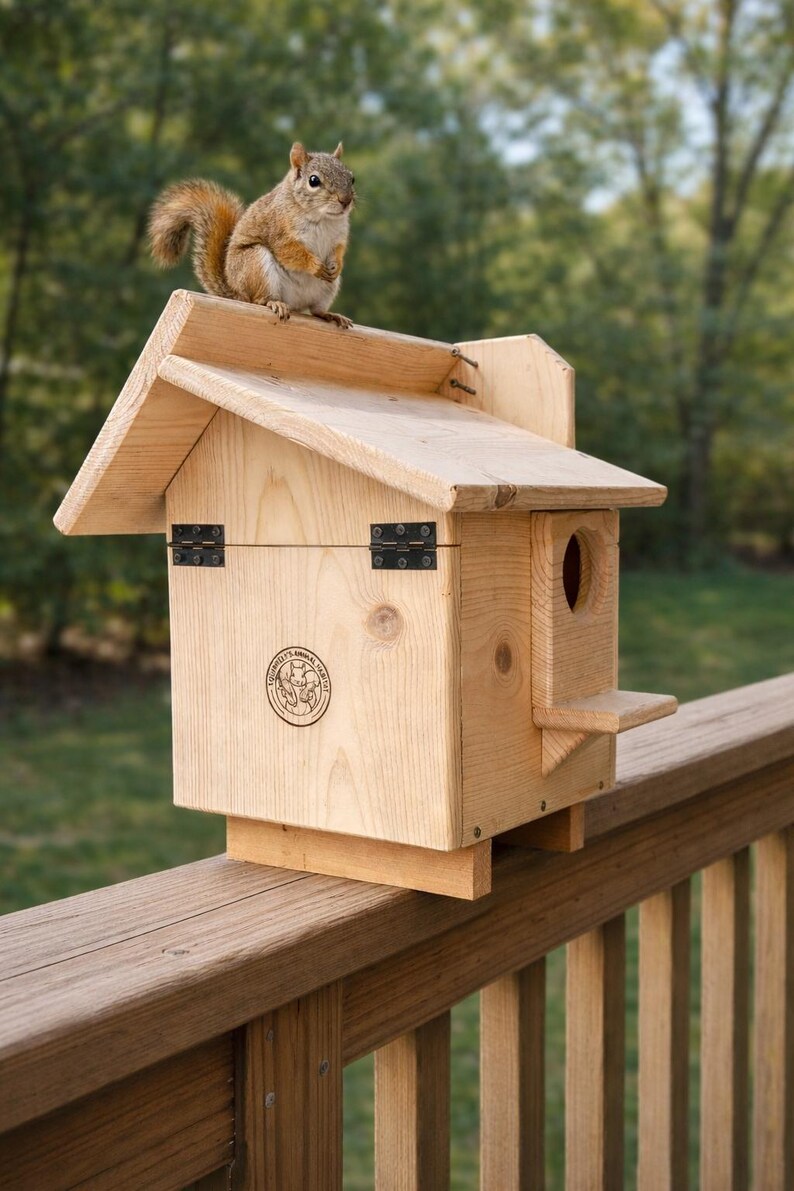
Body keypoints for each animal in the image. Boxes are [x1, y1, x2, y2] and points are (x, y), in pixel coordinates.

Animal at [148, 142, 355, 328]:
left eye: (352, 178)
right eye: (314, 181)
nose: (346, 200)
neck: (323, 218)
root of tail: (238, 293)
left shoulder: (339, 236)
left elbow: (338, 249)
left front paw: (336, 265)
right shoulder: (279, 231)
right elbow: (290, 252)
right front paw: (316, 266)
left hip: (328, 289)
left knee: (315, 310)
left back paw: (330, 315)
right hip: (256, 264)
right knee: (259, 300)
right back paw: (274, 302)